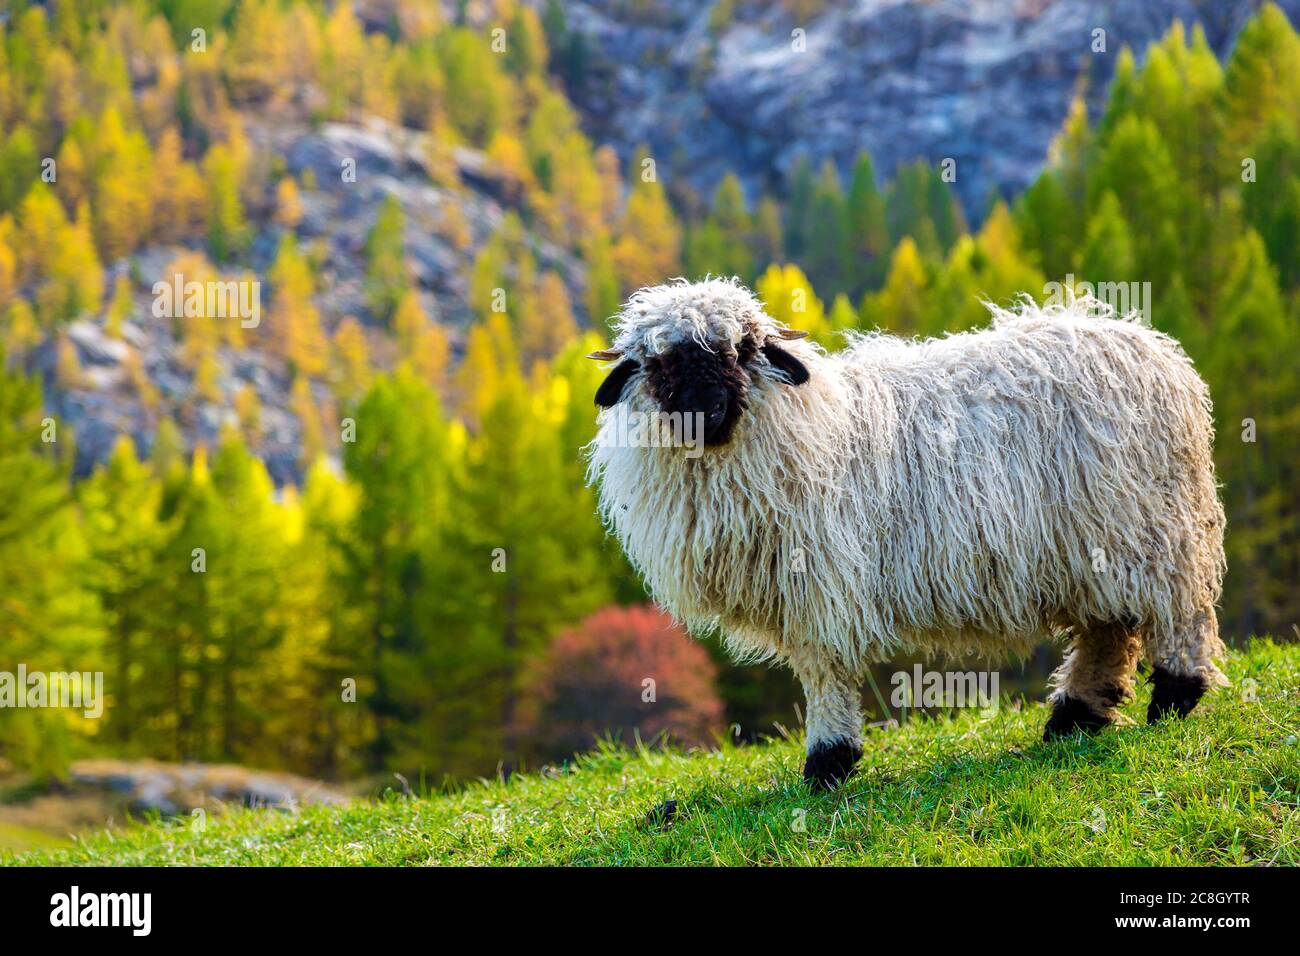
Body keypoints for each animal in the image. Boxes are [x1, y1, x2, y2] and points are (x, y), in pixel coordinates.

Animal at [586, 278, 1227, 789]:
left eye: (743, 351)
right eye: (657, 363)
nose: (708, 410)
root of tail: (1153, 348)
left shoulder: (821, 586)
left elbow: (824, 673)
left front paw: (827, 765)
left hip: (1155, 528)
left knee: (1180, 612)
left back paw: (1174, 698)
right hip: (1098, 548)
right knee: (1108, 630)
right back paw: (1074, 720)